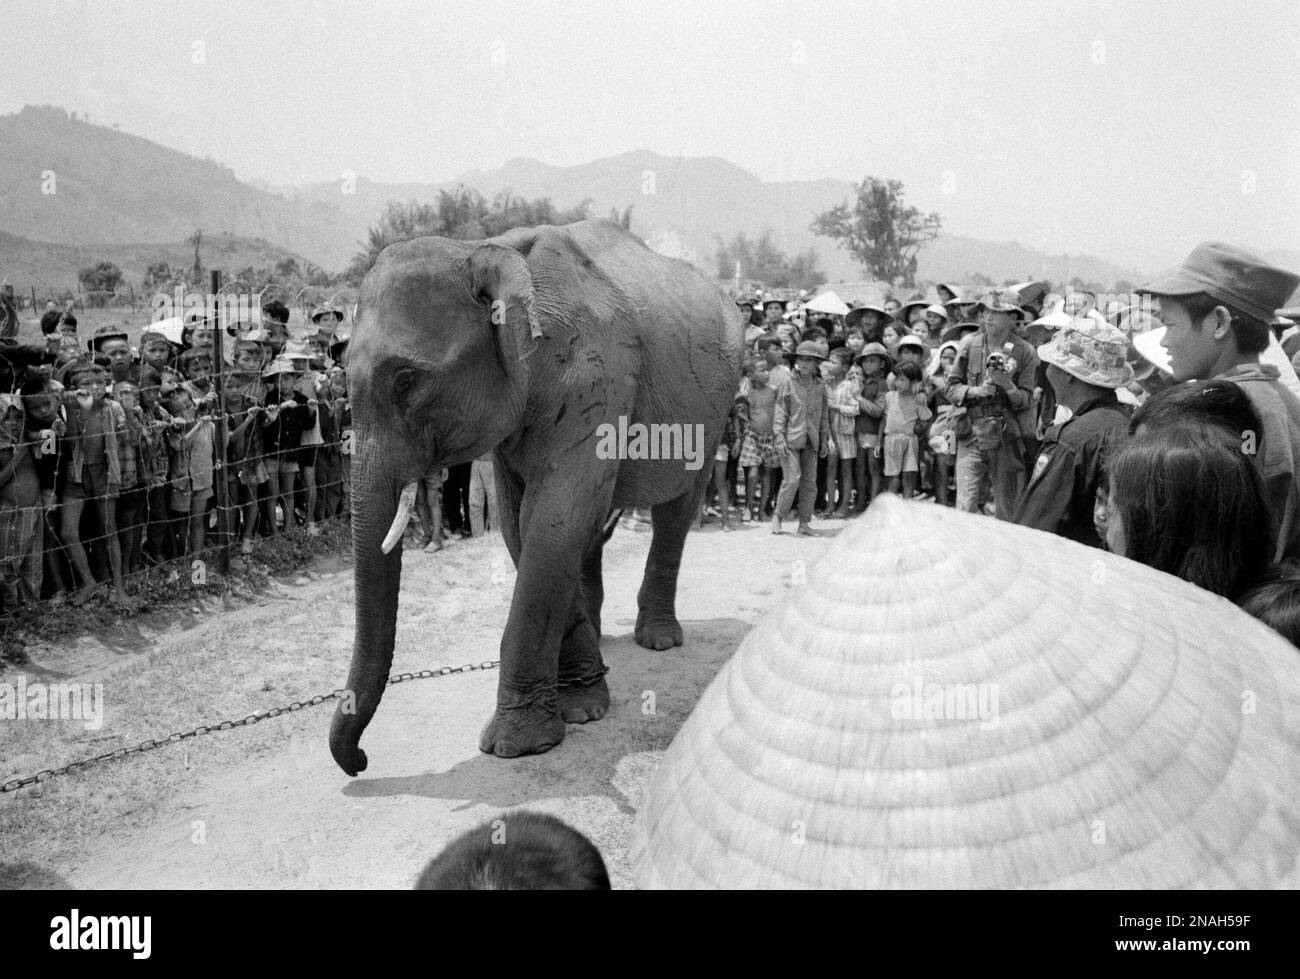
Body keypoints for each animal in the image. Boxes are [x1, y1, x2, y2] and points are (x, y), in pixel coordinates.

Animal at [329, 218, 744, 774]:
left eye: (407, 379)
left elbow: (552, 520)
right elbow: (523, 525)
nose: (360, 761)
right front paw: (584, 706)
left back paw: (658, 641)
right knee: (594, 527)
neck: (485, 250)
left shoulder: (596, 375)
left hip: (716, 406)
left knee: (676, 509)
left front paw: (518, 744)